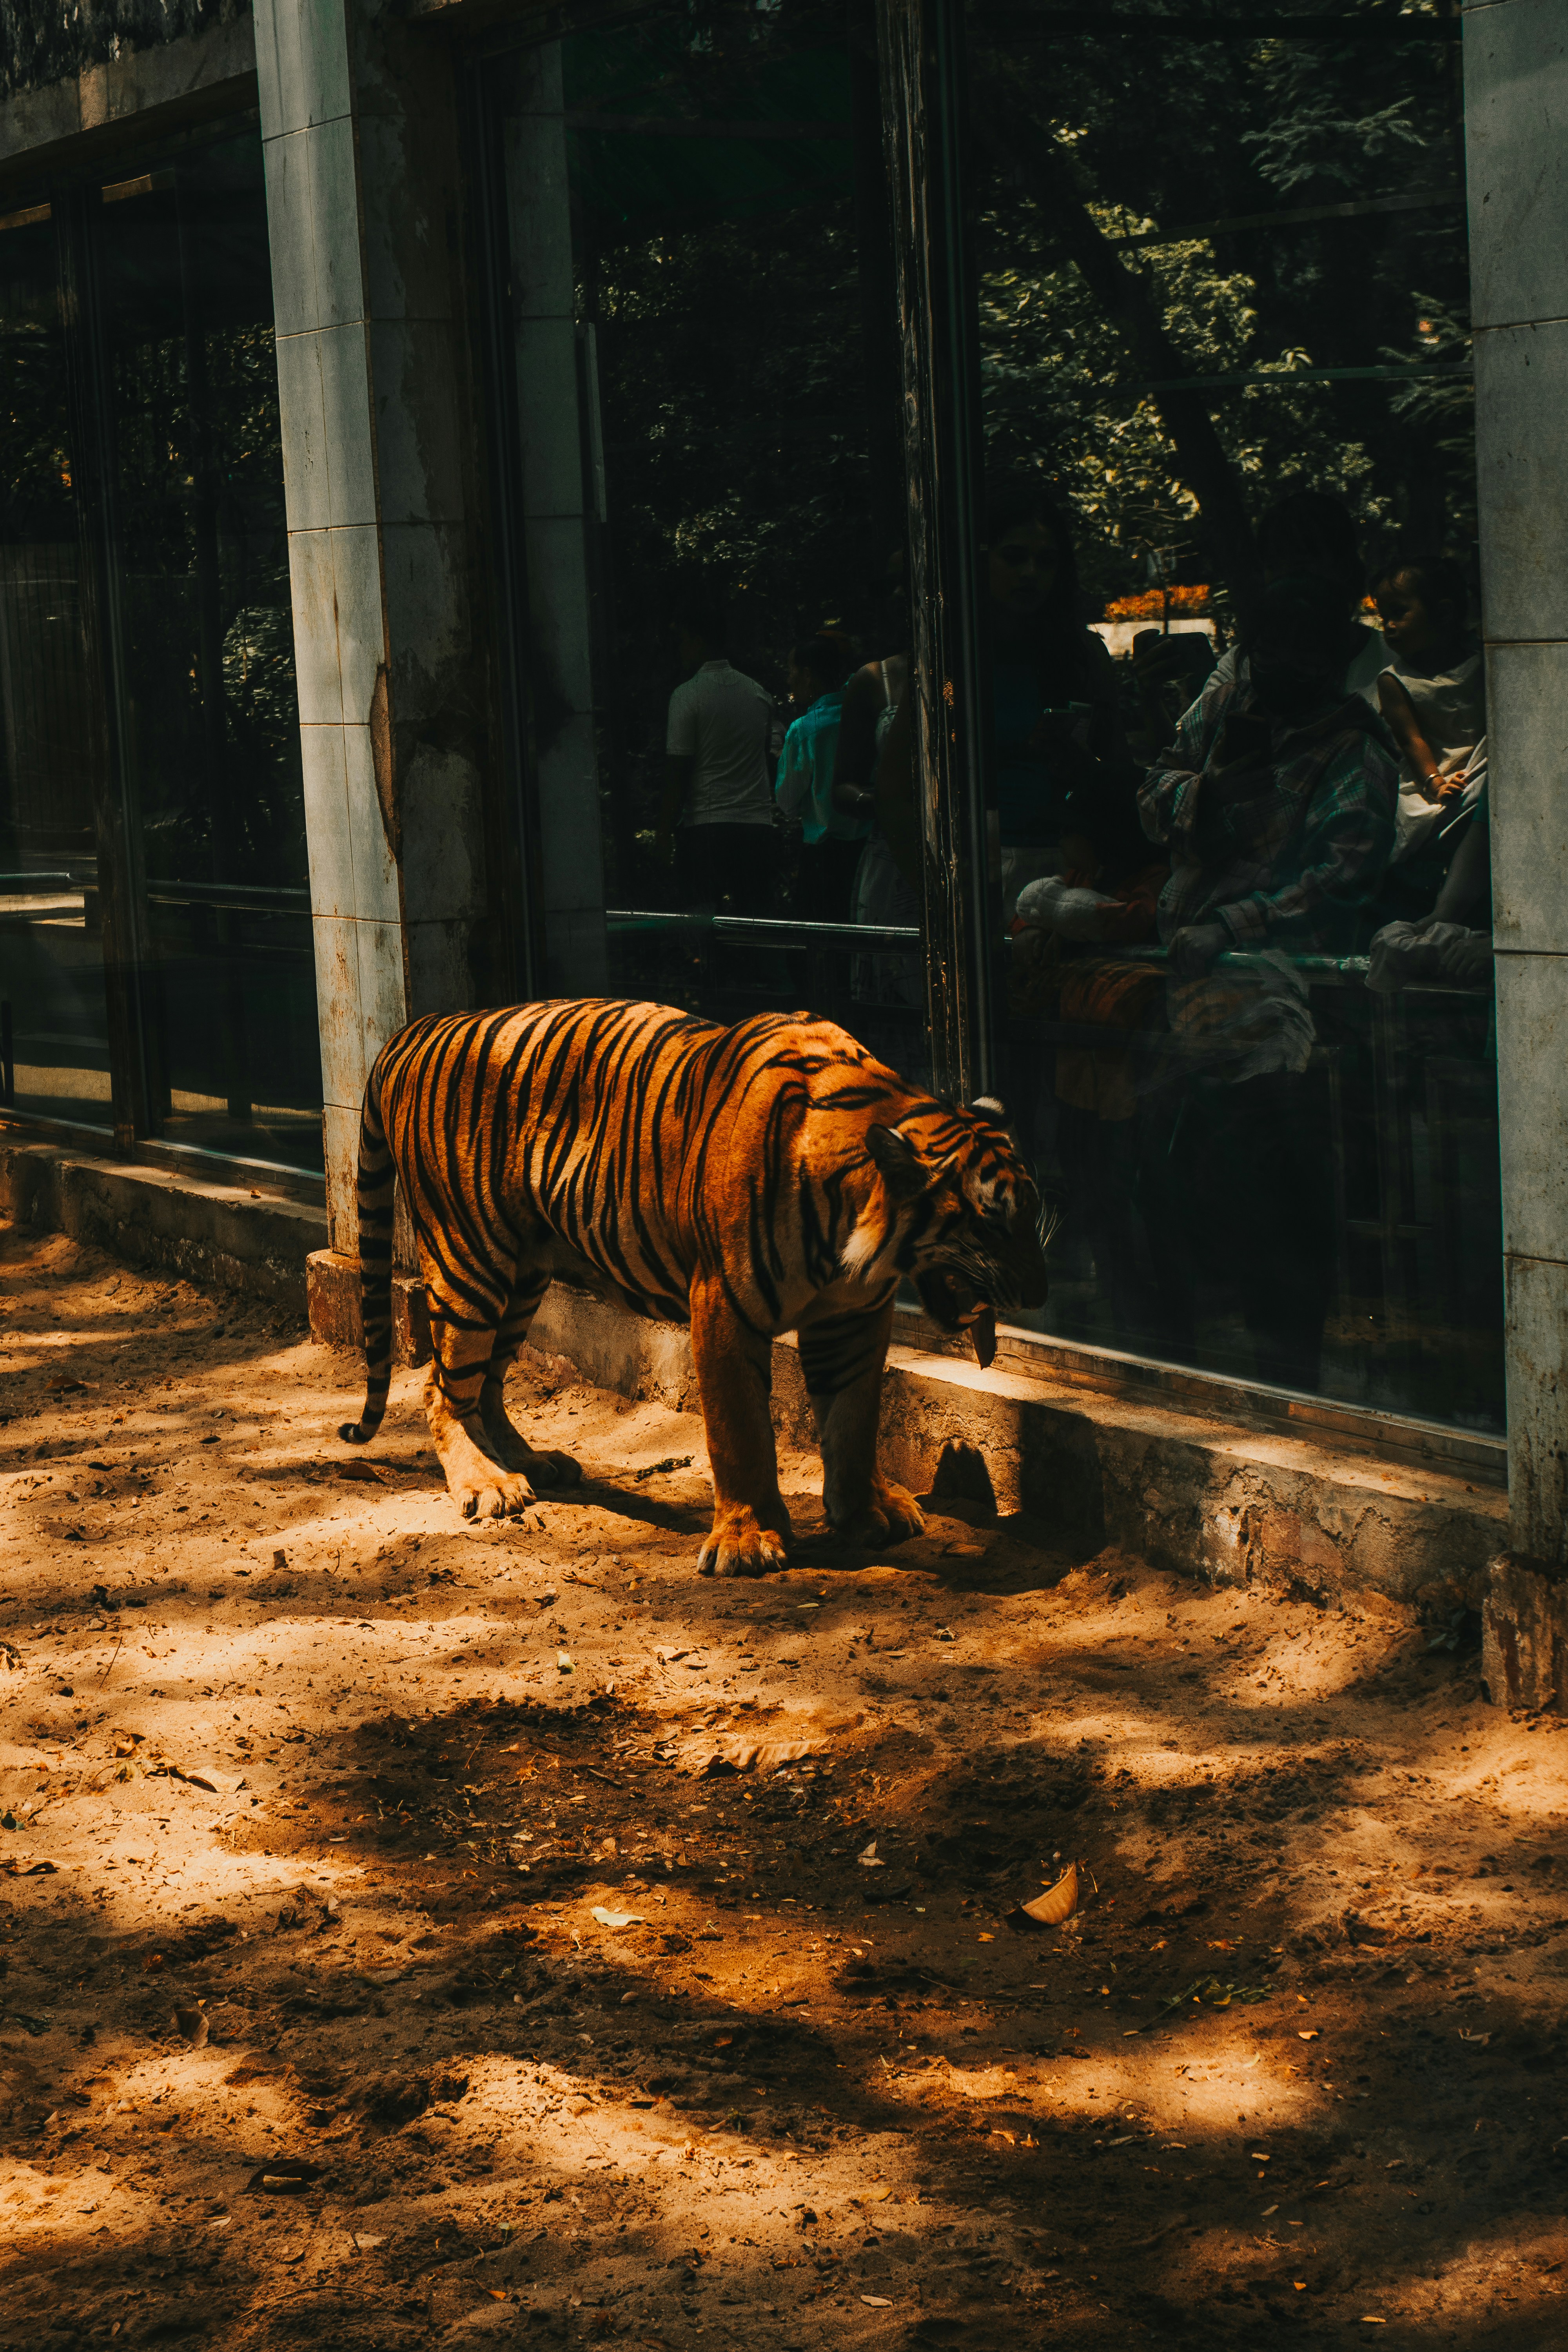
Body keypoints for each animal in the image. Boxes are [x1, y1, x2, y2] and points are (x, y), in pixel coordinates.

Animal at [340, 999, 1048, 1574]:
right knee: (441, 1387)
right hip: (471, 1263)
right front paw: (748, 1541)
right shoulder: (726, 1304)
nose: (1039, 1295)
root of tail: (421, 1027)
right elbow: (741, 1431)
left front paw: (867, 1513)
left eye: (1033, 1214)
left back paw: (531, 1464)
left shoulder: (854, 1316)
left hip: (522, 1277)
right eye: (992, 1220)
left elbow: (854, 1419)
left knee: (485, 1386)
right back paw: (485, 1484)